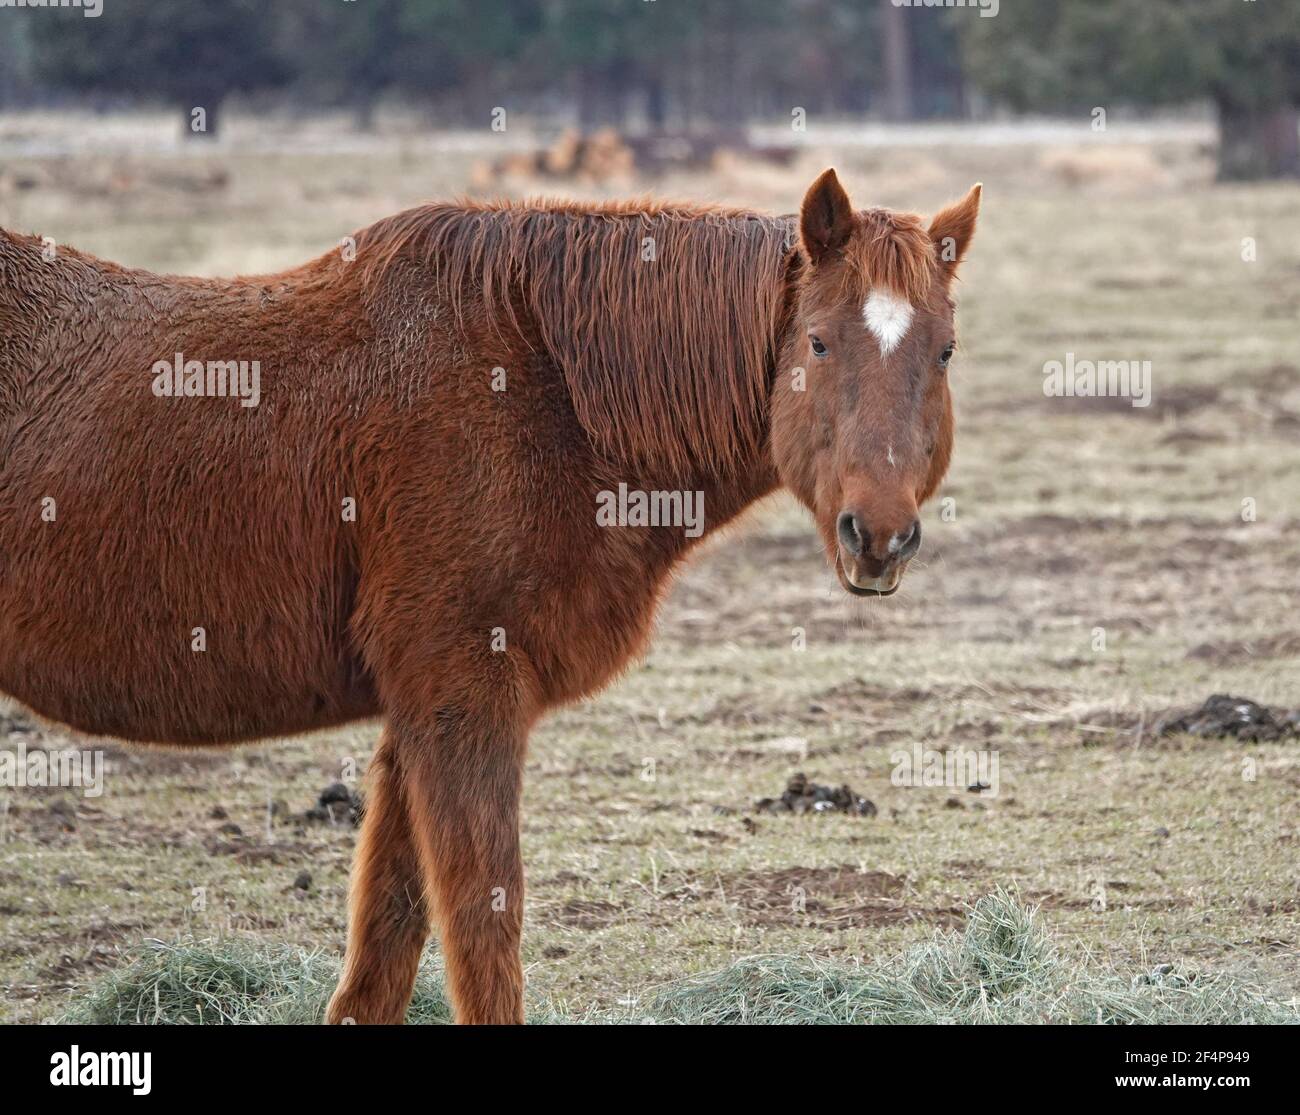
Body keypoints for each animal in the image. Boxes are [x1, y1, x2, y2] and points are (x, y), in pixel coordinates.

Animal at [0, 168, 980, 1023]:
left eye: (943, 352)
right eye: (817, 342)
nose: (879, 534)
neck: (548, 390)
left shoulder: (419, 717)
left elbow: (386, 951)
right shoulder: (462, 699)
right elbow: (483, 937)